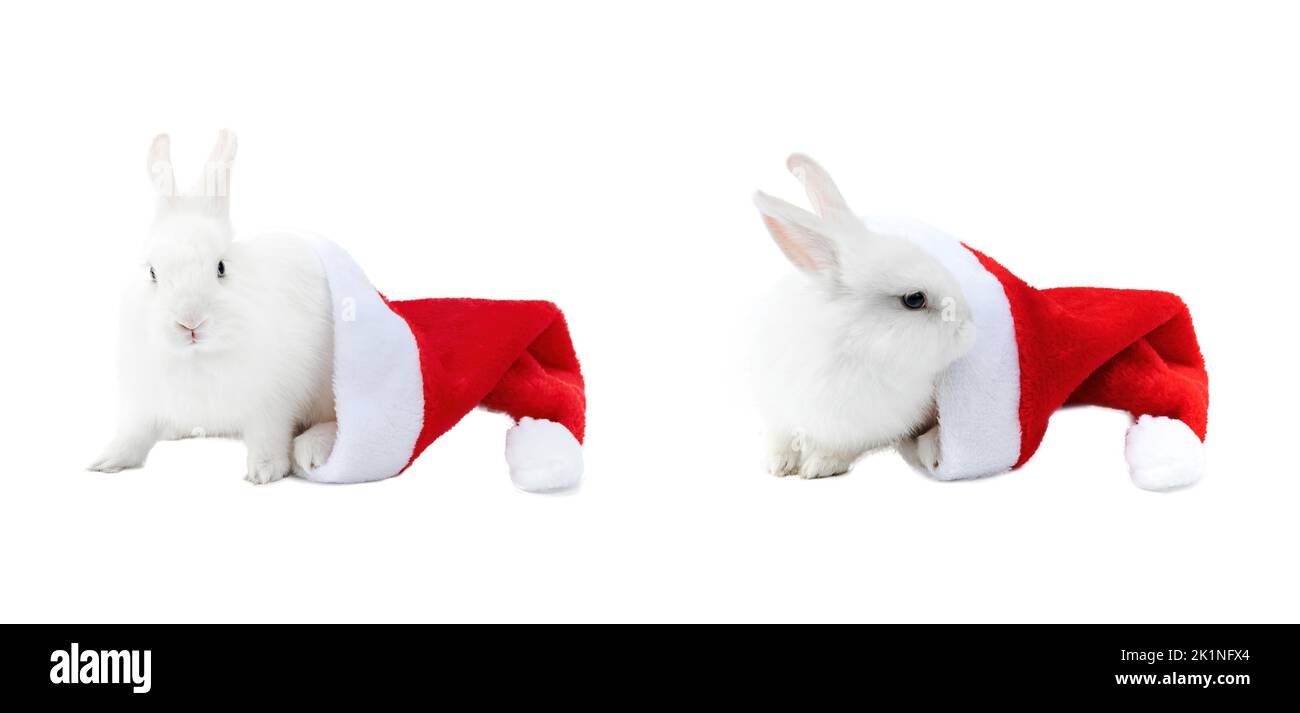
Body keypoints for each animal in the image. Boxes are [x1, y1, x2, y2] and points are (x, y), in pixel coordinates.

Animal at [88, 131, 339, 484]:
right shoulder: (145, 403)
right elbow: (133, 435)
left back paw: (311, 450)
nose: (190, 322)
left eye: (221, 267)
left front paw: (264, 470)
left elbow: (268, 436)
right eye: (152, 272)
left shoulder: (271, 402)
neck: (199, 357)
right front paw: (106, 461)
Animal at [752, 154, 977, 479]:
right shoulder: (780, 408)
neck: (851, 343)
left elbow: (836, 448)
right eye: (914, 299)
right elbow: (781, 437)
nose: (970, 330)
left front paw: (818, 465)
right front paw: (777, 464)